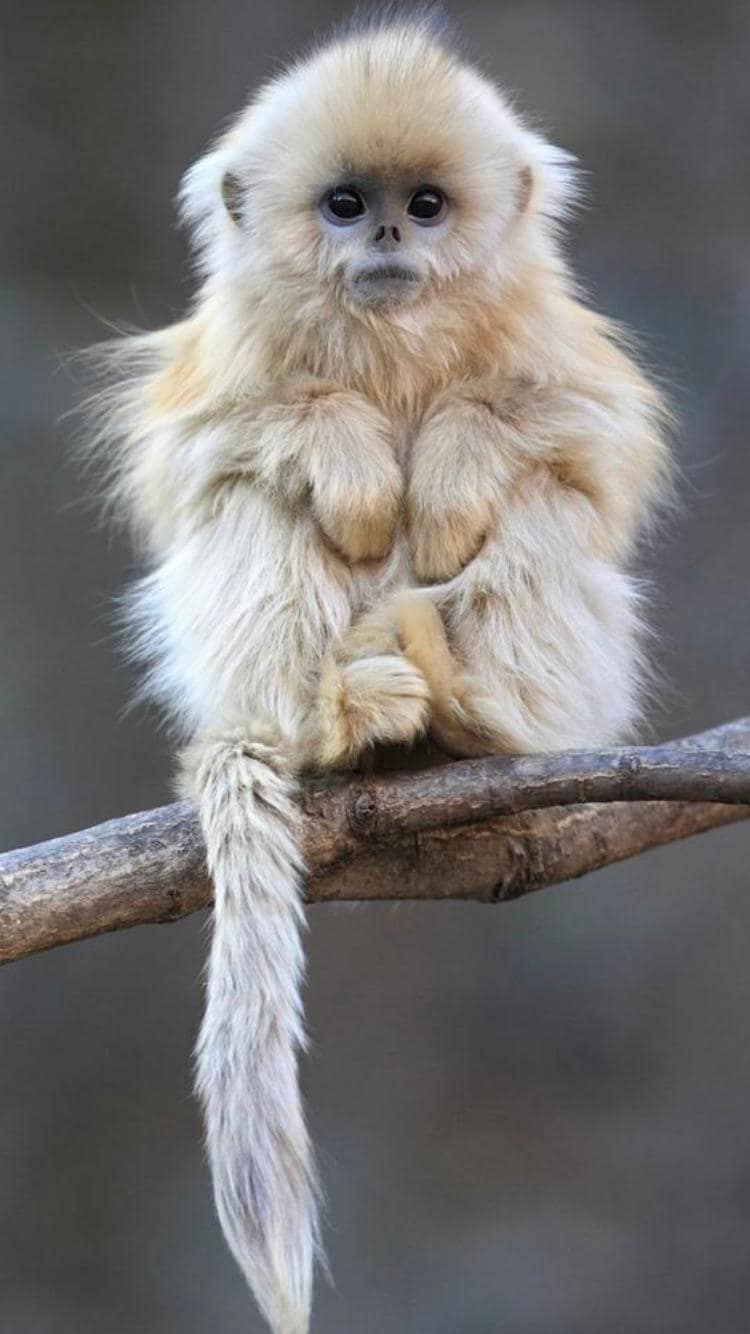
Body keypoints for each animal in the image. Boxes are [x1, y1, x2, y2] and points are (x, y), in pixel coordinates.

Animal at [87, 12, 671, 1333]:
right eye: (346, 204)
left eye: (428, 204)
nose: (392, 239)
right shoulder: (225, 362)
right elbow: (203, 455)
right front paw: (354, 459)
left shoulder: (555, 344)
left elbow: (585, 445)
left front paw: (448, 468)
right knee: (251, 501)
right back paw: (341, 720)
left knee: (544, 506)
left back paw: (472, 714)